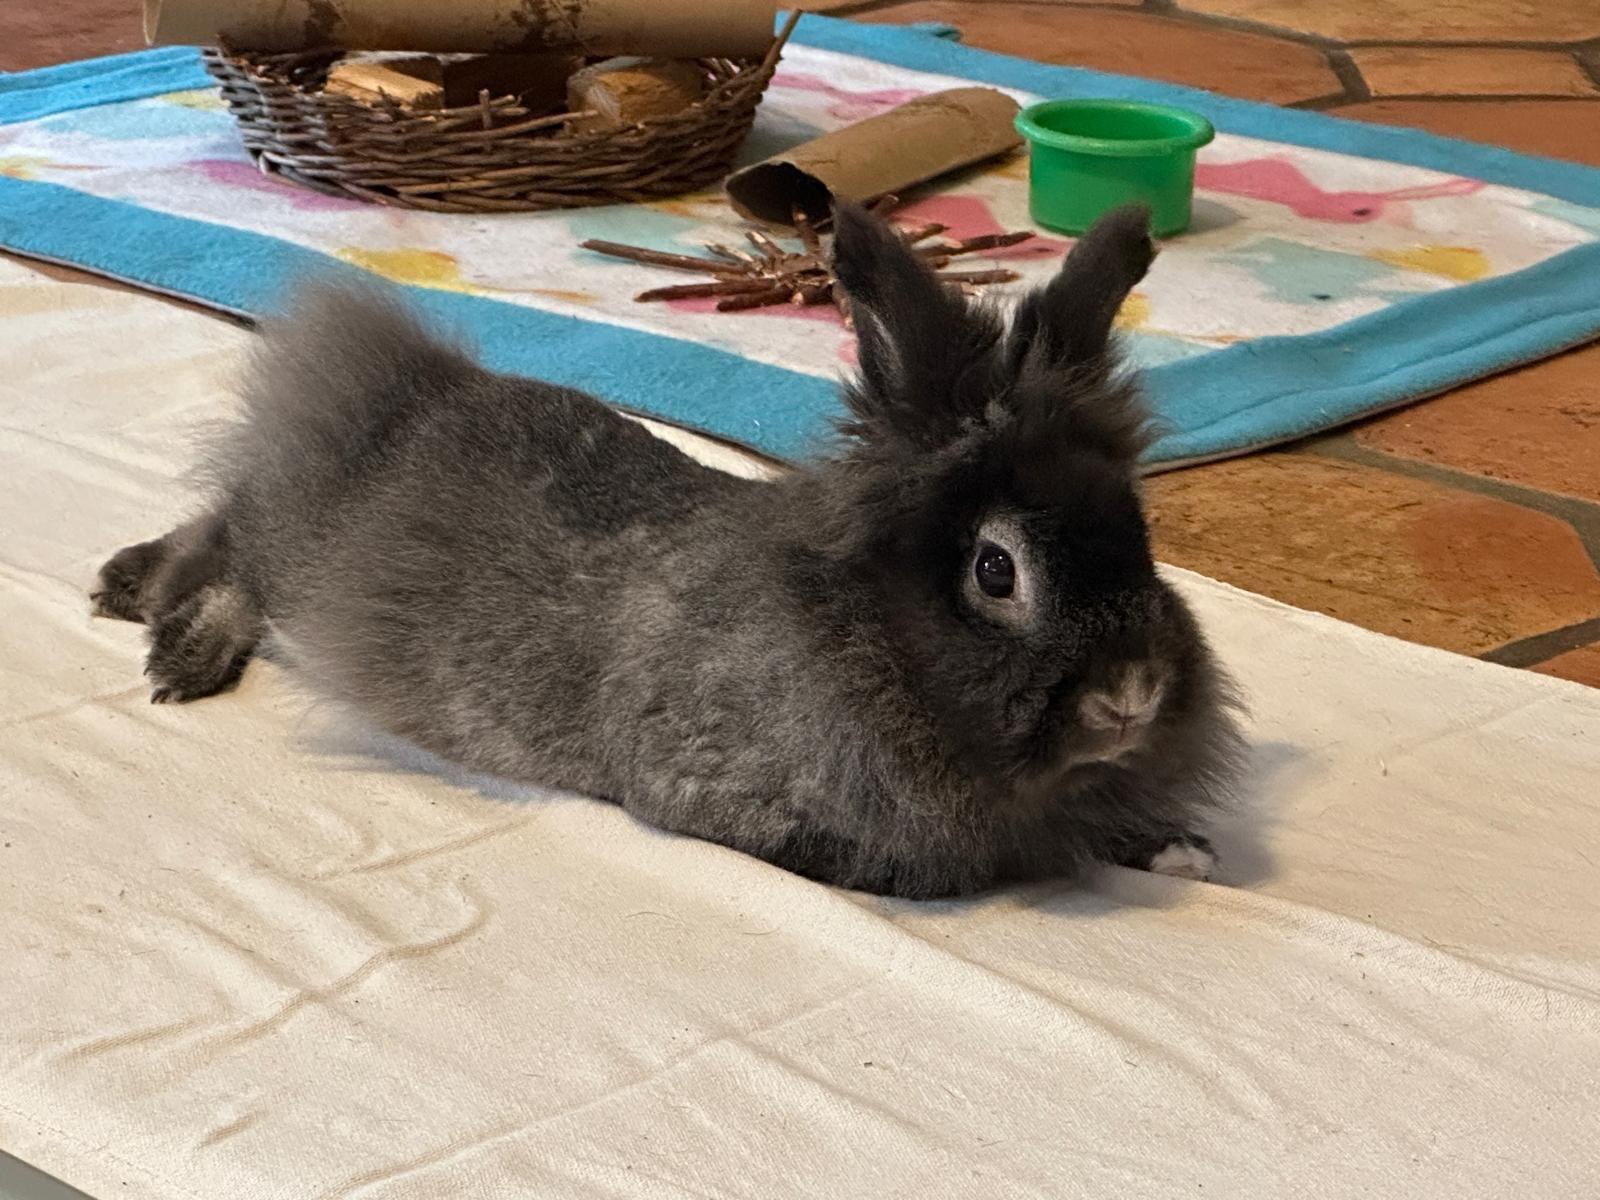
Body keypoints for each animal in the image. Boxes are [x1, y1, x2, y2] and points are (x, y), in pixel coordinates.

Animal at [91, 203, 1245, 900]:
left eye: (1140, 536)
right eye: (994, 570)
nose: (1132, 696)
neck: (859, 637)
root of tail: (408, 392)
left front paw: (1184, 851)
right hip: (300, 550)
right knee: (230, 538)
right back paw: (163, 635)